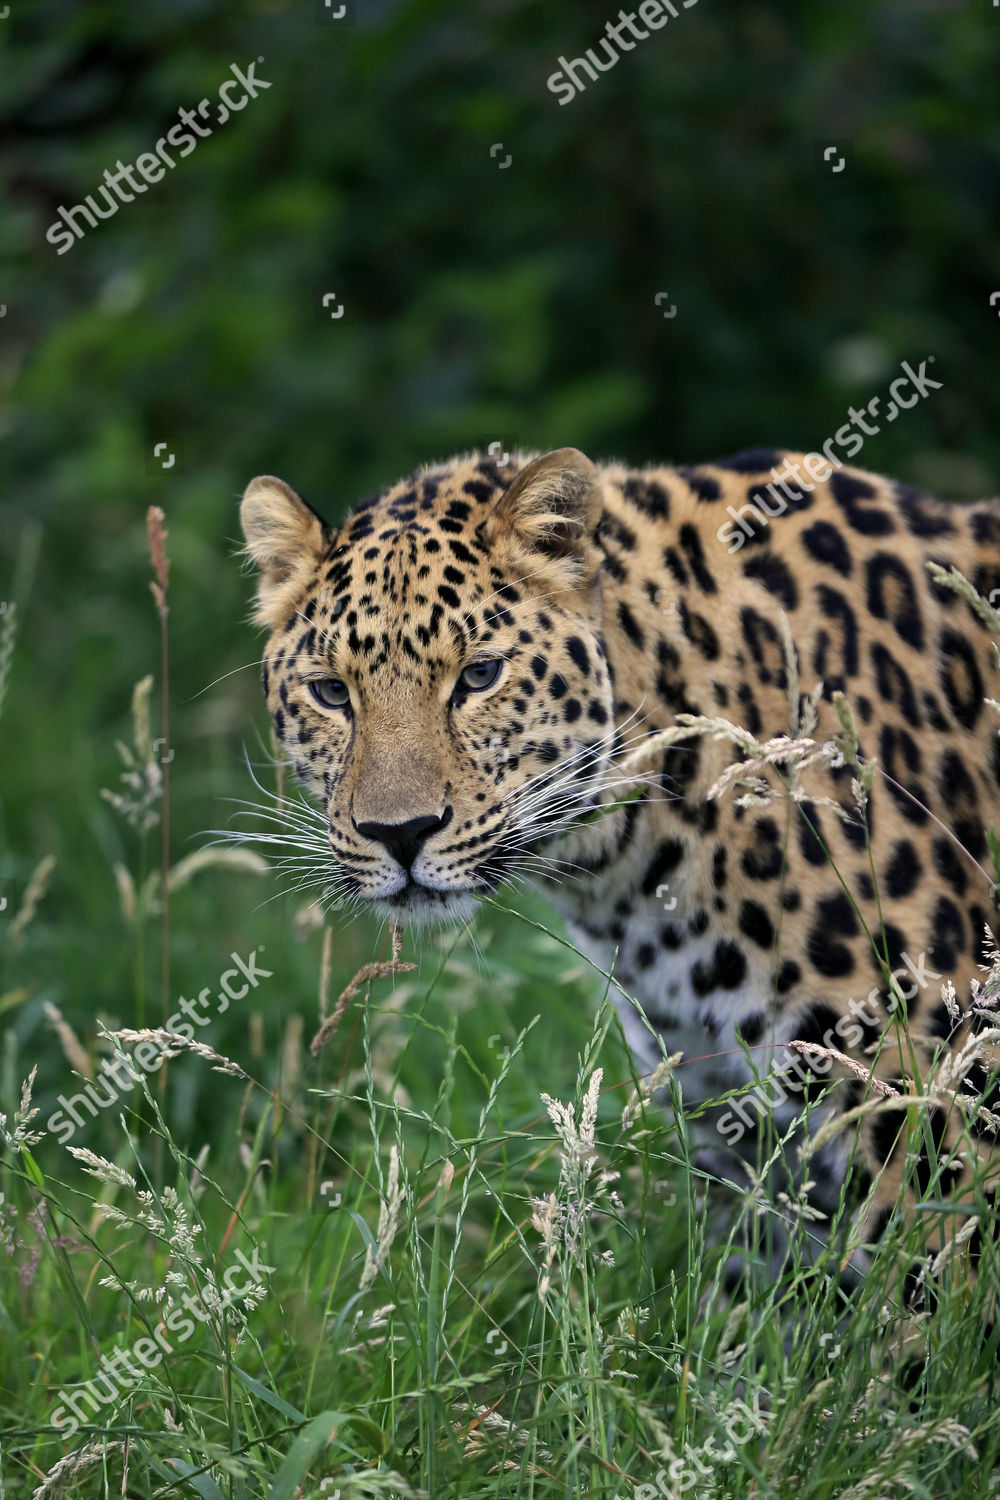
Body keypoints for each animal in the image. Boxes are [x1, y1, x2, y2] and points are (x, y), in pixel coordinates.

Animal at [239, 444, 1000, 1299]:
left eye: (479, 676)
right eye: (331, 693)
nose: (399, 833)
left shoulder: (934, 1092)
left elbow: (933, 1301)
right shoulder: (737, 1124)